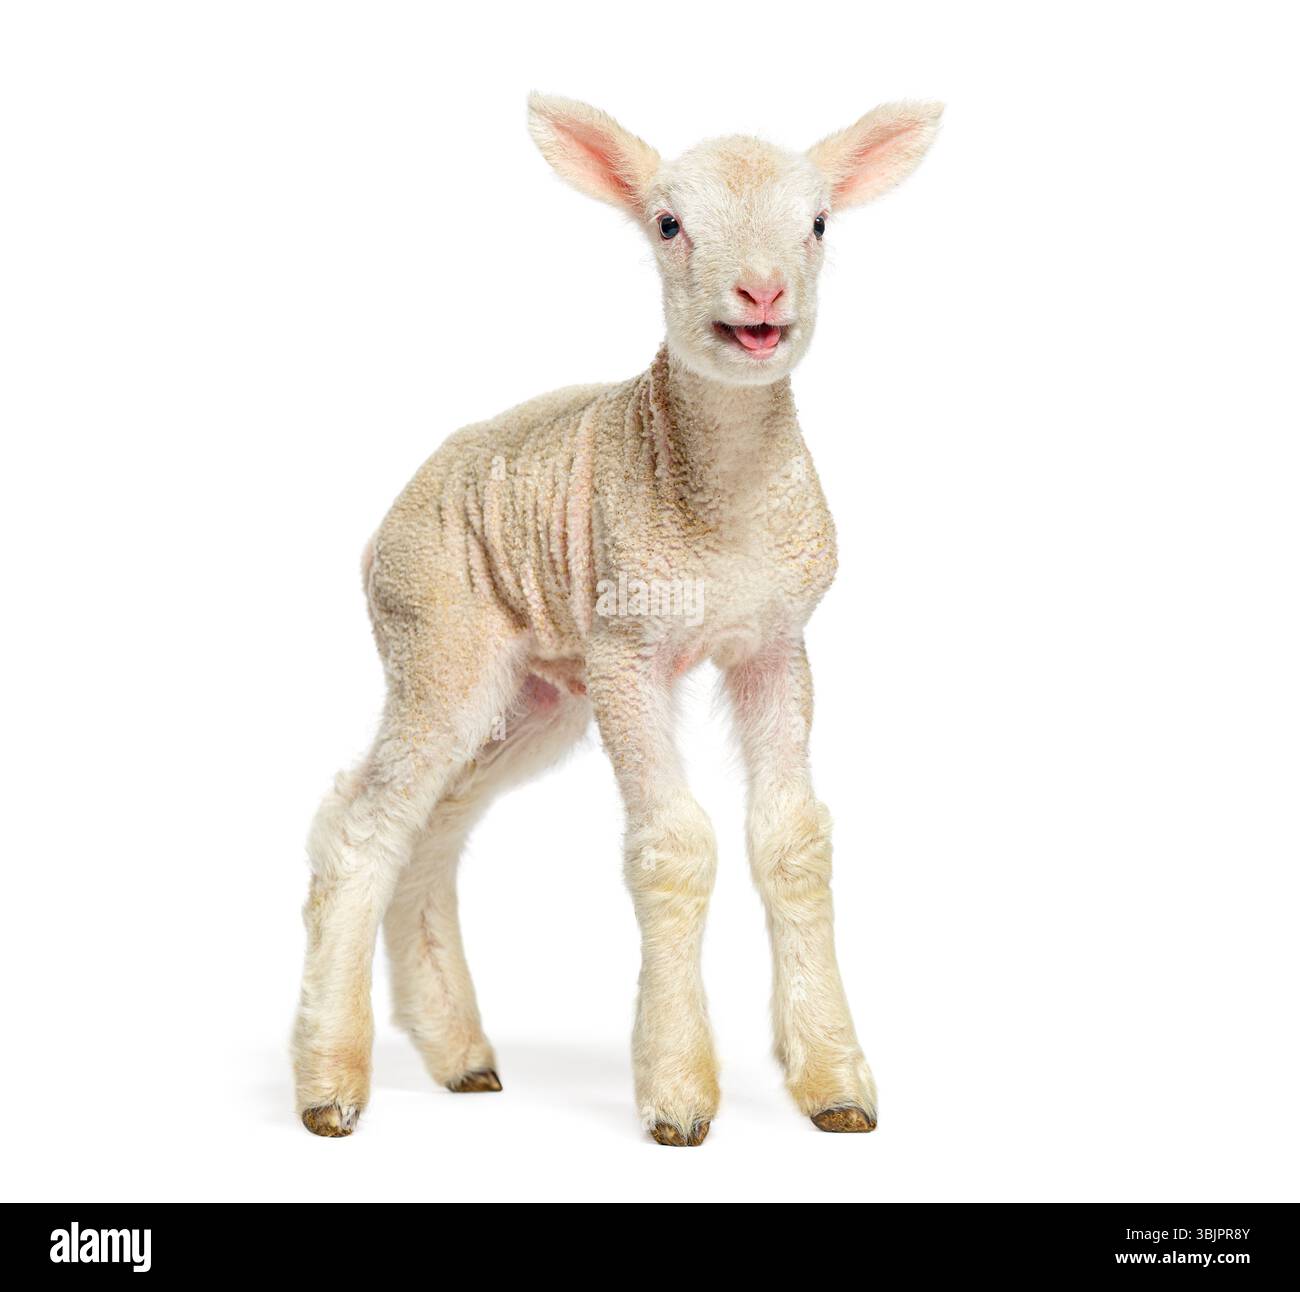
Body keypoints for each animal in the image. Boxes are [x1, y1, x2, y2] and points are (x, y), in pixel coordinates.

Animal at [293, 93, 942, 1144]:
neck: (725, 509)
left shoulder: (777, 643)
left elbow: (793, 843)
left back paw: (460, 1055)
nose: (762, 294)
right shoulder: (629, 649)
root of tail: (385, 525)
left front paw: (834, 1081)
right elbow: (674, 848)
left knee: (433, 824)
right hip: (439, 641)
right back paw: (329, 1085)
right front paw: (678, 1092)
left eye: (818, 223)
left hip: (538, 693)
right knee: (362, 828)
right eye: (668, 224)